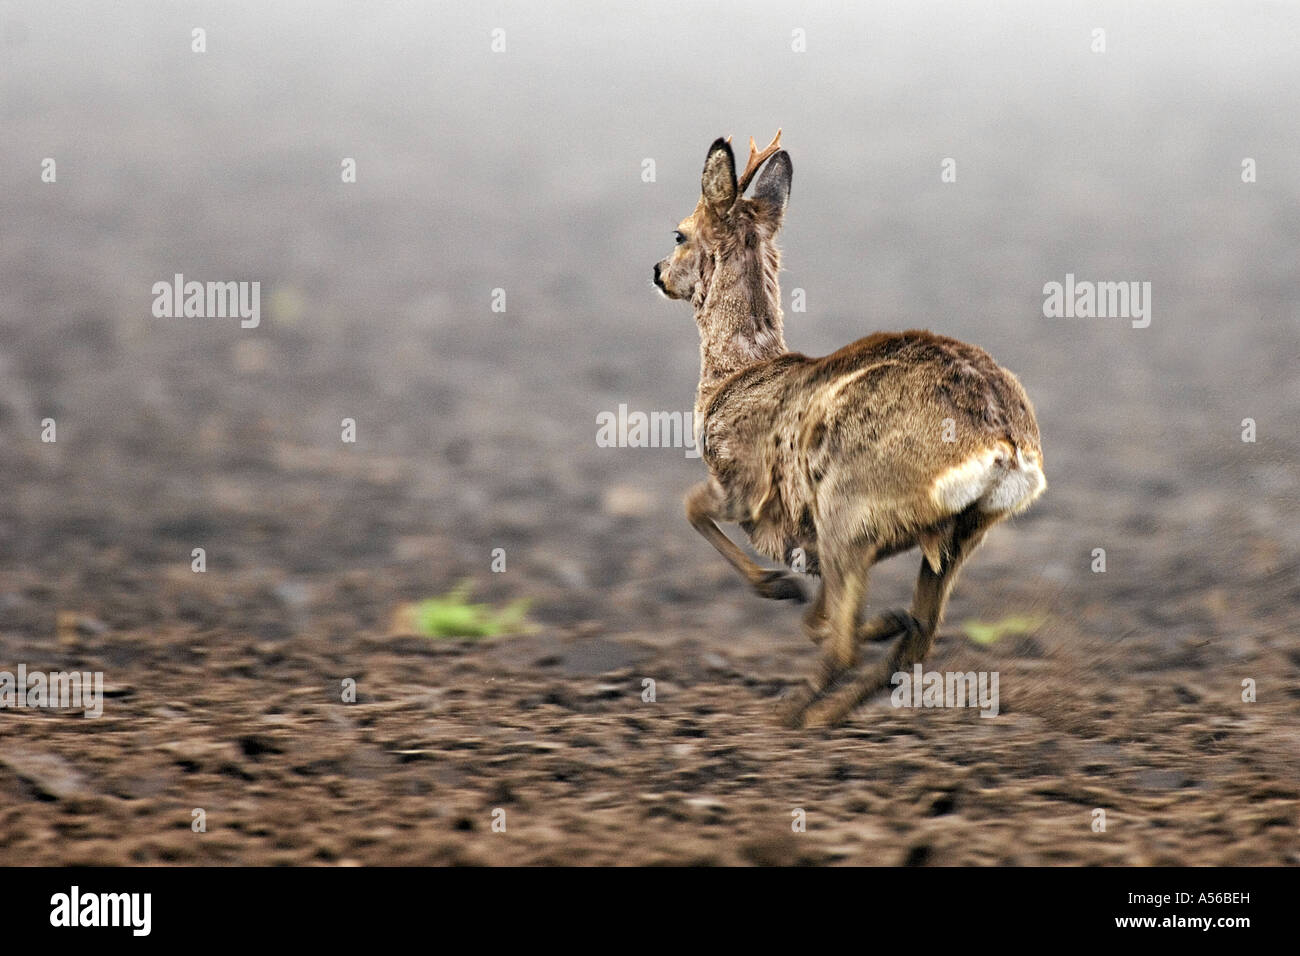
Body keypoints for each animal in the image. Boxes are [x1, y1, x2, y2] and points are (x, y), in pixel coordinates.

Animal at [652, 131, 1046, 728]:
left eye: (680, 232)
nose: (656, 271)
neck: (734, 377)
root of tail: (1006, 445)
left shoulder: (744, 485)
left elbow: (692, 507)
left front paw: (779, 587)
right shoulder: (810, 533)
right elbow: (824, 611)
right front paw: (858, 613)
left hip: (850, 504)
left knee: (846, 647)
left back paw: (793, 716)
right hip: (960, 533)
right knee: (917, 640)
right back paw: (844, 686)